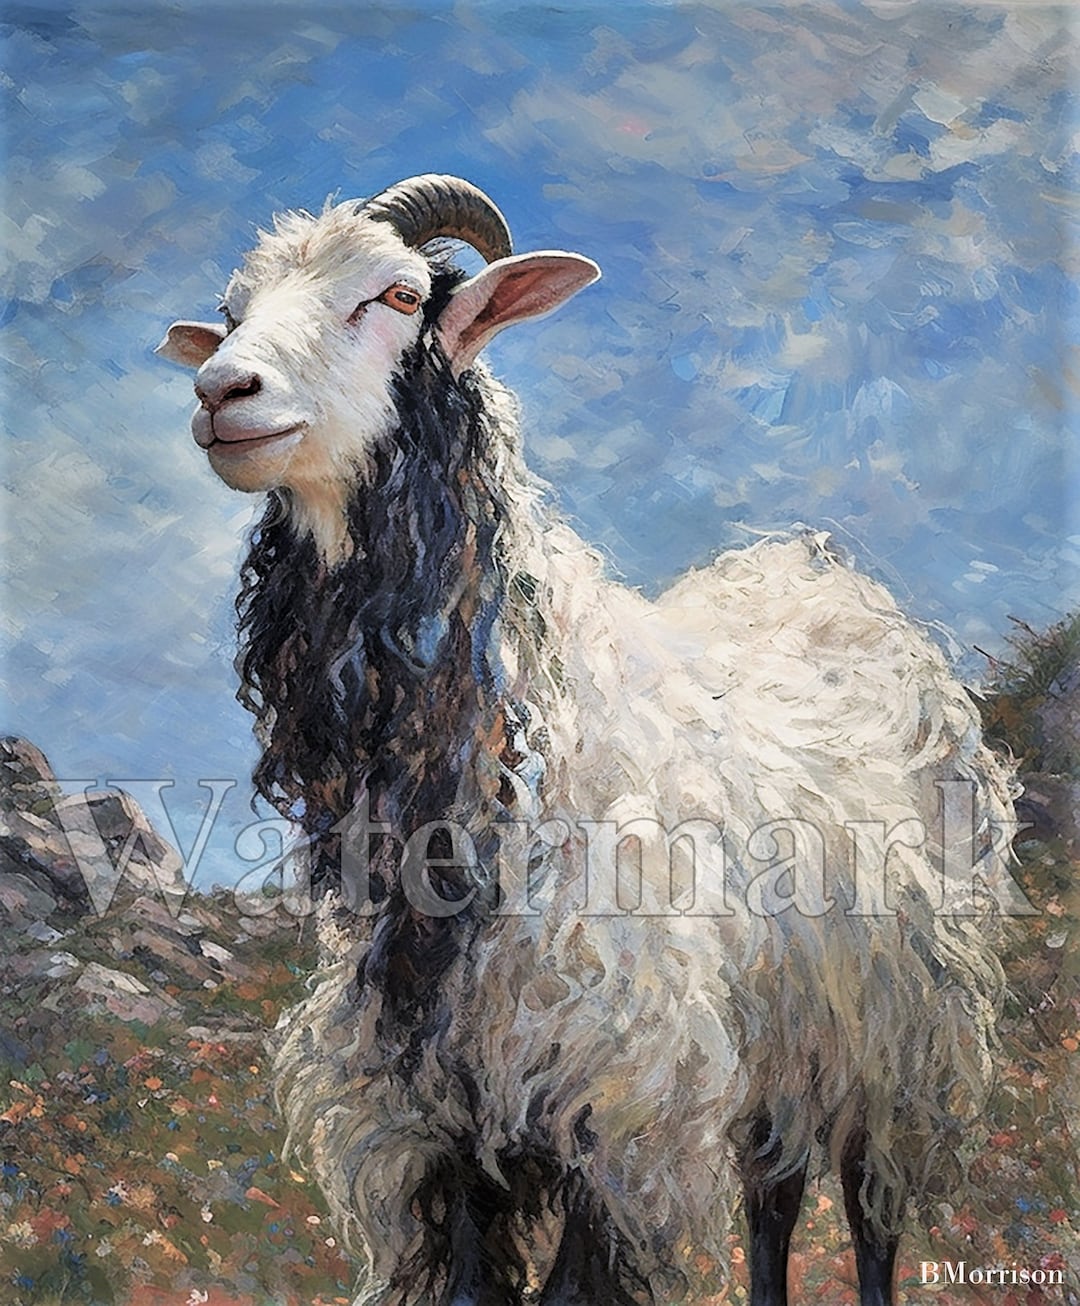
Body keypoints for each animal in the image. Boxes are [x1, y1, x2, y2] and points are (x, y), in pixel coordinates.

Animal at [159, 174, 1019, 1306]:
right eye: (232, 309)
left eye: (396, 295)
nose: (222, 390)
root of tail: (818, 566)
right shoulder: (438, 1123)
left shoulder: (621, 1102)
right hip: (784, 1033)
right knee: (775, 1198)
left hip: (904, 1028)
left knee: (870, 1208)